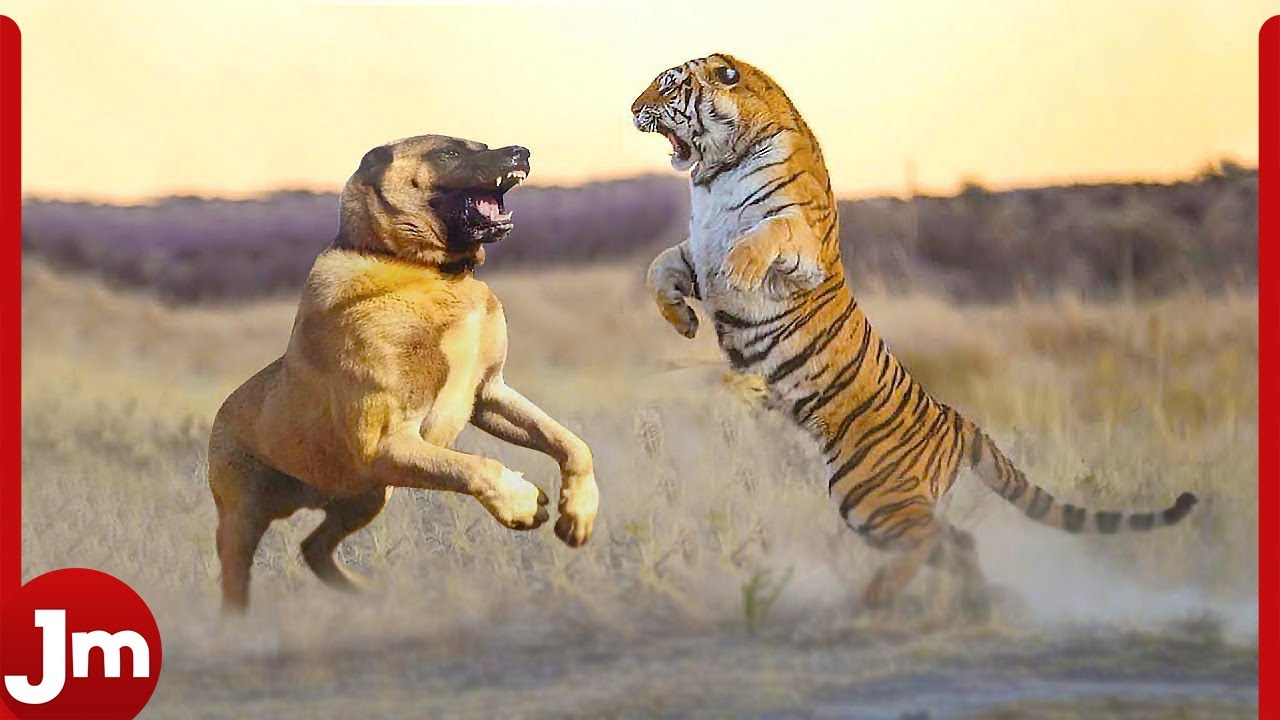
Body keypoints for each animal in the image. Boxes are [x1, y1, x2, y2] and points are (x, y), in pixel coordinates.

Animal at [208, 135, 599, 614]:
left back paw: (364, 594)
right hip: (244, 519)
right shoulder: (387, 439)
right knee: (238, 576)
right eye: (449, 153)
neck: (431, 272)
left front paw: (578, 513)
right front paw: (520, 502)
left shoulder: (490, 394)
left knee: (313, 546)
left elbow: (571, 444)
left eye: (484, 145)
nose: (520, 152)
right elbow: (477, 467)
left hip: (367, 496)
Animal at [630, 53, 1198, 614]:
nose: (633, 108)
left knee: (933, 537)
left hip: (867, 494)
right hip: (876, 504)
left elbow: (764, 236)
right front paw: (682, 320)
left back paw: (879, 597)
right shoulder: (694, 250)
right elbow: (659, 267)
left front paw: (738, 272)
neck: (716, 171)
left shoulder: (801, 243)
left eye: (669, 86)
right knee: (955, 540)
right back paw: (973, 598)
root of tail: (958, 420)